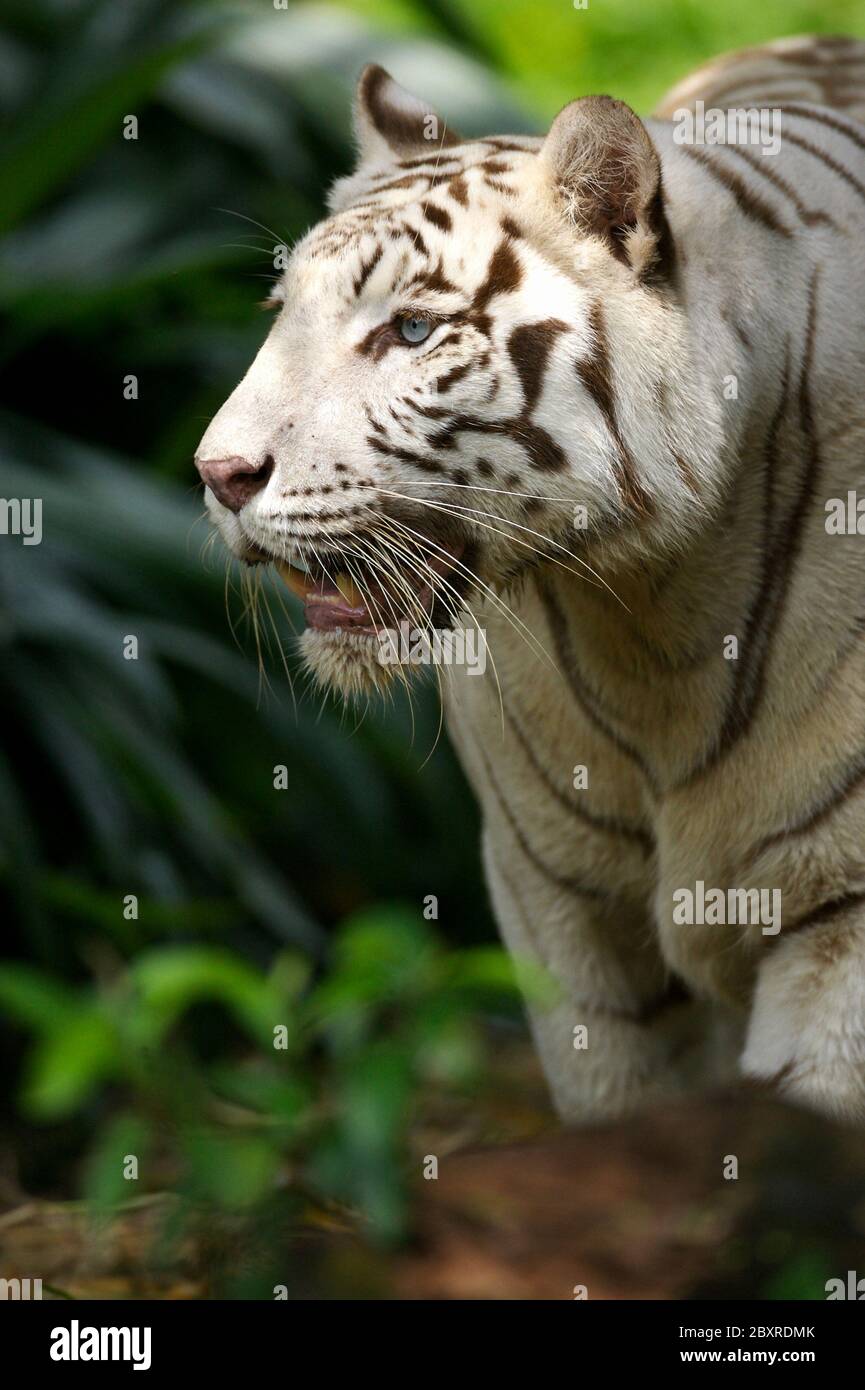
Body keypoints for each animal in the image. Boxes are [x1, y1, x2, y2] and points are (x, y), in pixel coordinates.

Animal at [195, 34, 865, 1124]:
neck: (653, 618)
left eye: (411, 332)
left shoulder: (841, 914)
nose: (217, 473)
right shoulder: (555, 896)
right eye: (279, 313)